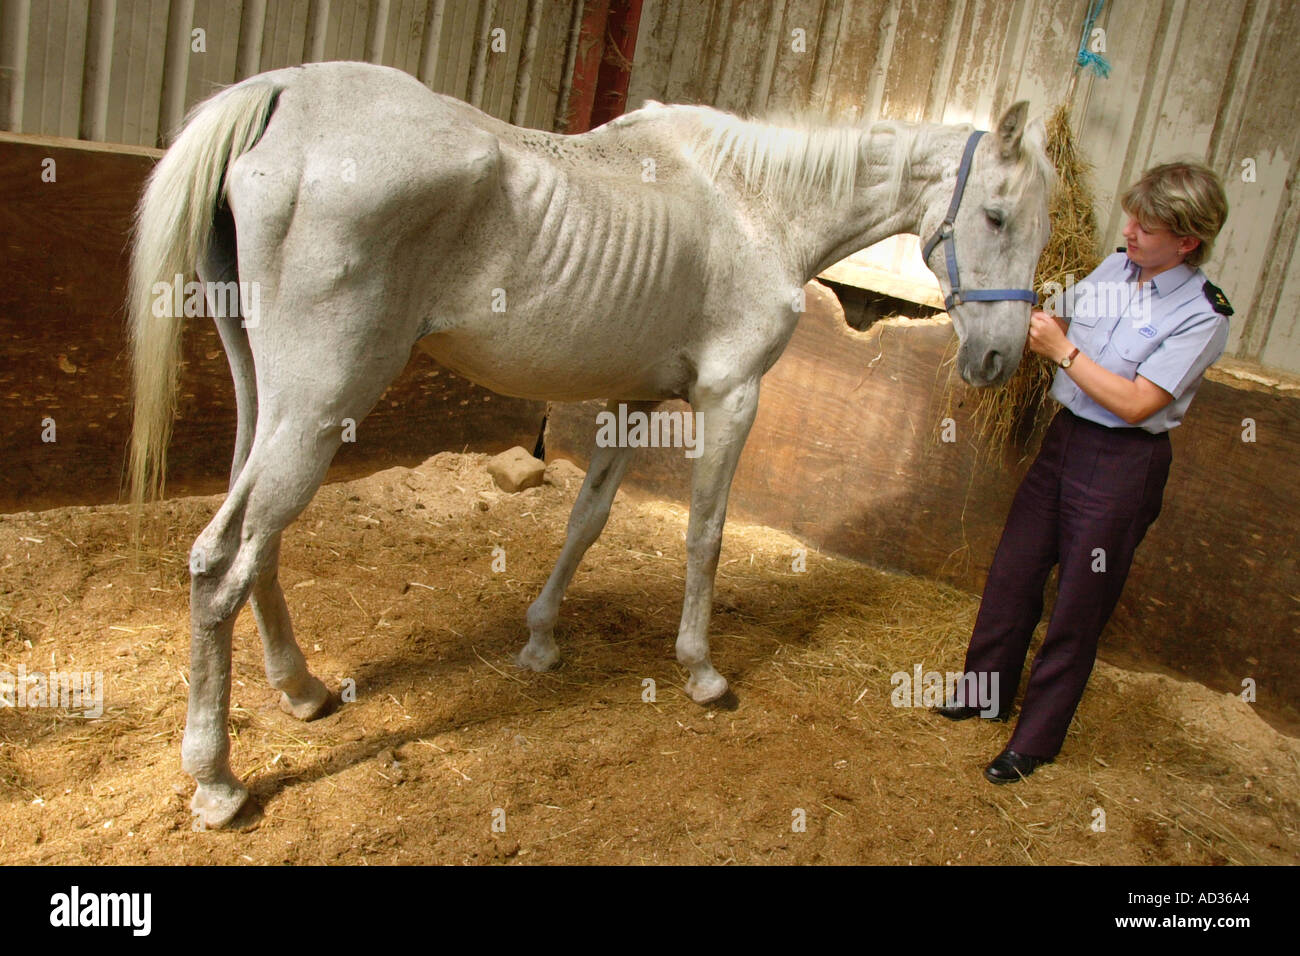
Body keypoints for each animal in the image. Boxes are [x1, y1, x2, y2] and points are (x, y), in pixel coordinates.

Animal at [127, 61, 1053, 828]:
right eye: (995, 215)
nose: (998, 358)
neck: (755, 203)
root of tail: (287, 91)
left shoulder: (632, 398)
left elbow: (588, 518)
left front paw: (540, 639)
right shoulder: (731, 399)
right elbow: (705, 536)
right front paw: (701, 672)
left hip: (273, 405)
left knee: (257, 548)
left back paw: (302, 691)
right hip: (319, 406)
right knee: (220, 564)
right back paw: (217, 782)